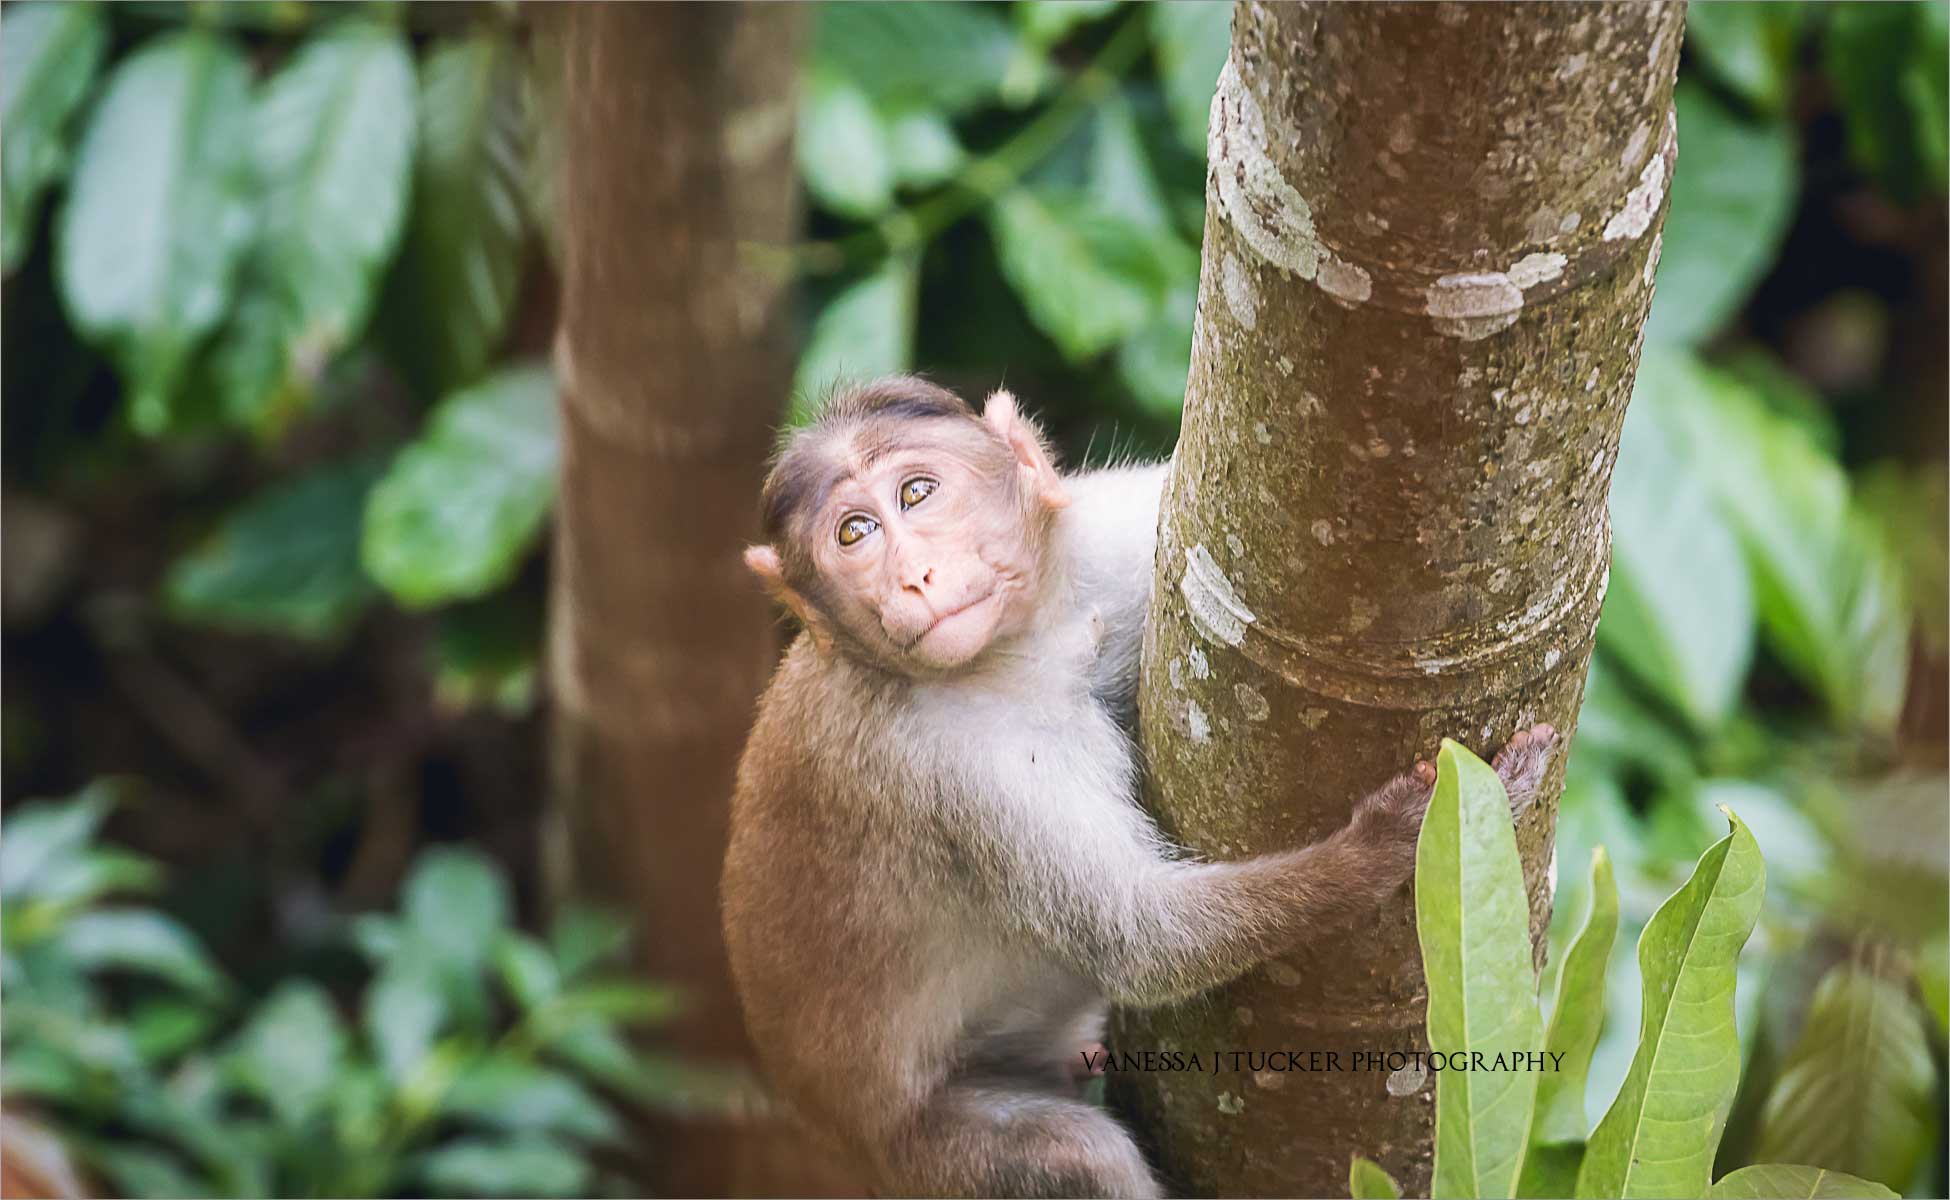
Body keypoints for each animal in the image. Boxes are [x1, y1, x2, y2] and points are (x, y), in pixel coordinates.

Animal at [721, 376, 1557, 1199]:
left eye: (917, 494)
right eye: (854, 535)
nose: (915, 576)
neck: (1023, 654)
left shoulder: (1105, 541)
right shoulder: (966, 768)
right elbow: (1139, 938)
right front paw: (1389, 840)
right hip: (926, 1156)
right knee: (1081, 1155)